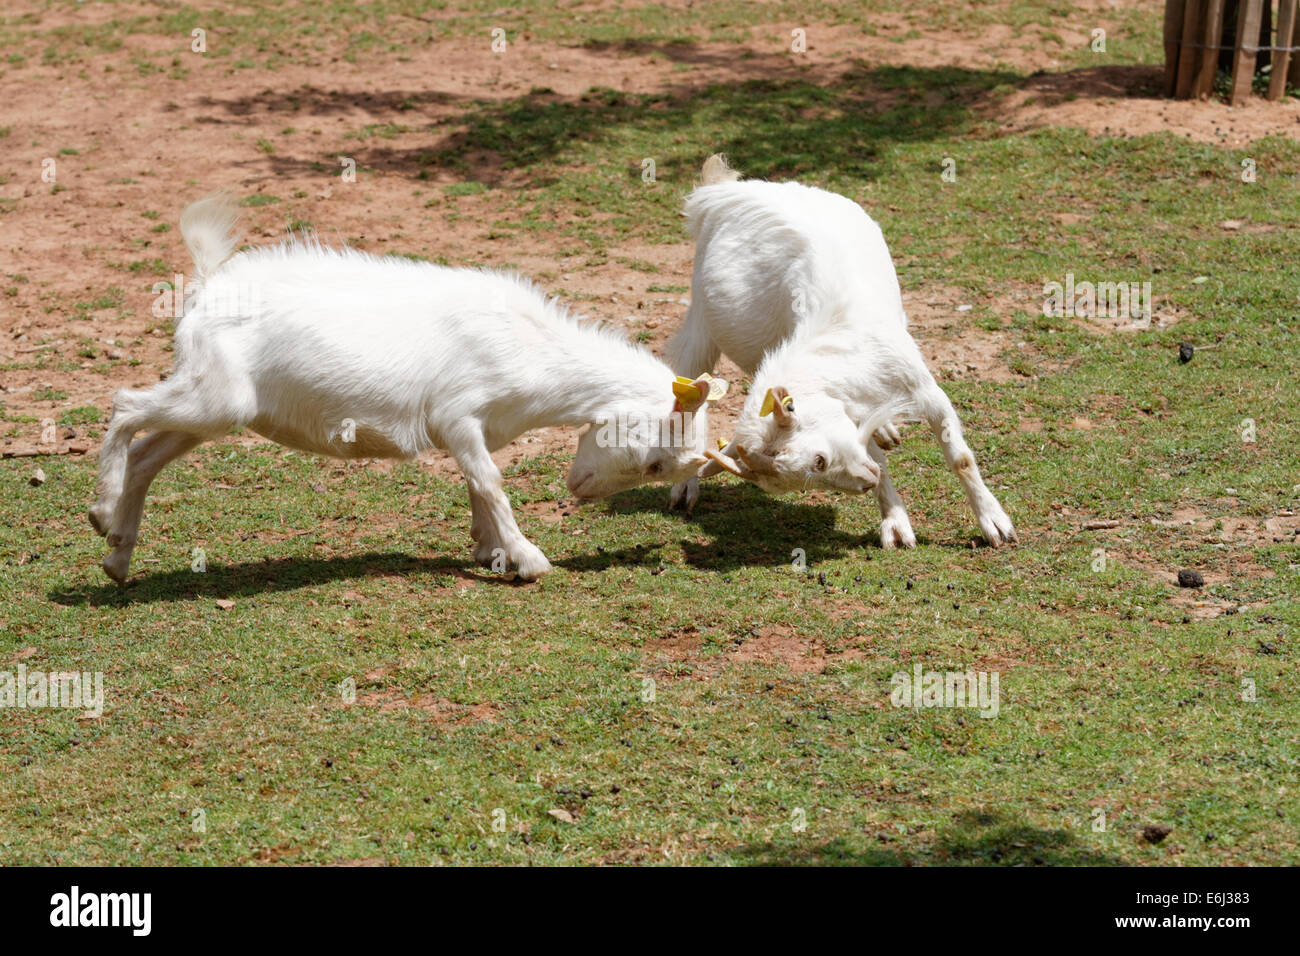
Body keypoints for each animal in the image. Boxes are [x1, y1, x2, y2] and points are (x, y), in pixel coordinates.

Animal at [88, 195, 717, 583]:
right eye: (657, 463)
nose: (580, 490)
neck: (531, 345)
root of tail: (208, 287)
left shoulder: (477, 431)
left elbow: (477, 484)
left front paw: (489, 550)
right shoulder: (456, 415)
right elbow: (492, 482)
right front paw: (529, 558)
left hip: (211, 405)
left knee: (148, 454)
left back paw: (118, 553)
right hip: (219, 398)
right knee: (125, 406)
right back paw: (100, 510)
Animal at [666, 156, 1016, 548]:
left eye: (818, 461)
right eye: (802, 481)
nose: (864, 485)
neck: (842, 340)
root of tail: (725, 190)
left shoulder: (923, 389)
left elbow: (960, 458)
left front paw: (994, 522)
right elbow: (877, 460)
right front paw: (895, 523)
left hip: (700, 325)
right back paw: (685, 486)